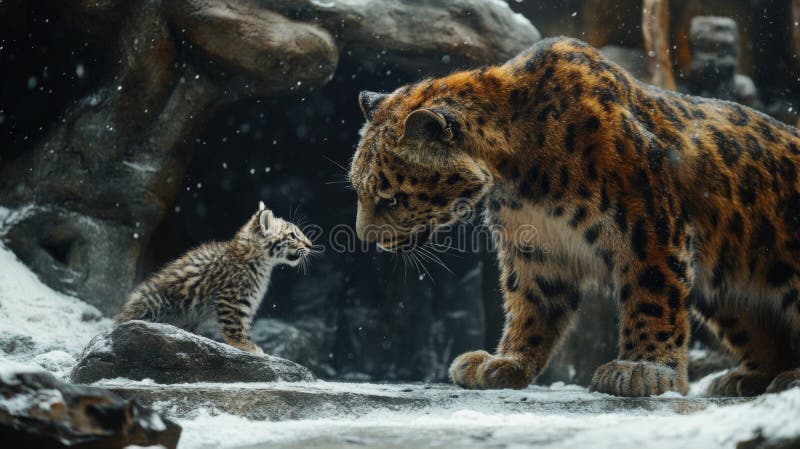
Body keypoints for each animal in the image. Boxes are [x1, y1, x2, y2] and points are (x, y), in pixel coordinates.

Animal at [117, 201, 313, 354]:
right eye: (292, 235)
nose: (310, 245)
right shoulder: (233, 300)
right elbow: (235, 327)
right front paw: (245, 345)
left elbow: (243, 325)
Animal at [348, 36, 800, 397]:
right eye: (358, 189)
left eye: (390, 196)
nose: (366, 239)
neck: (518, 171)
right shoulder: (536, 247)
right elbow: (531, 306)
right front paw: (508, 363)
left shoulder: (650, 223)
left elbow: (652, 294)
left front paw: (643, 369)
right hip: (728, 288)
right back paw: (746, 378)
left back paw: (786, 379)